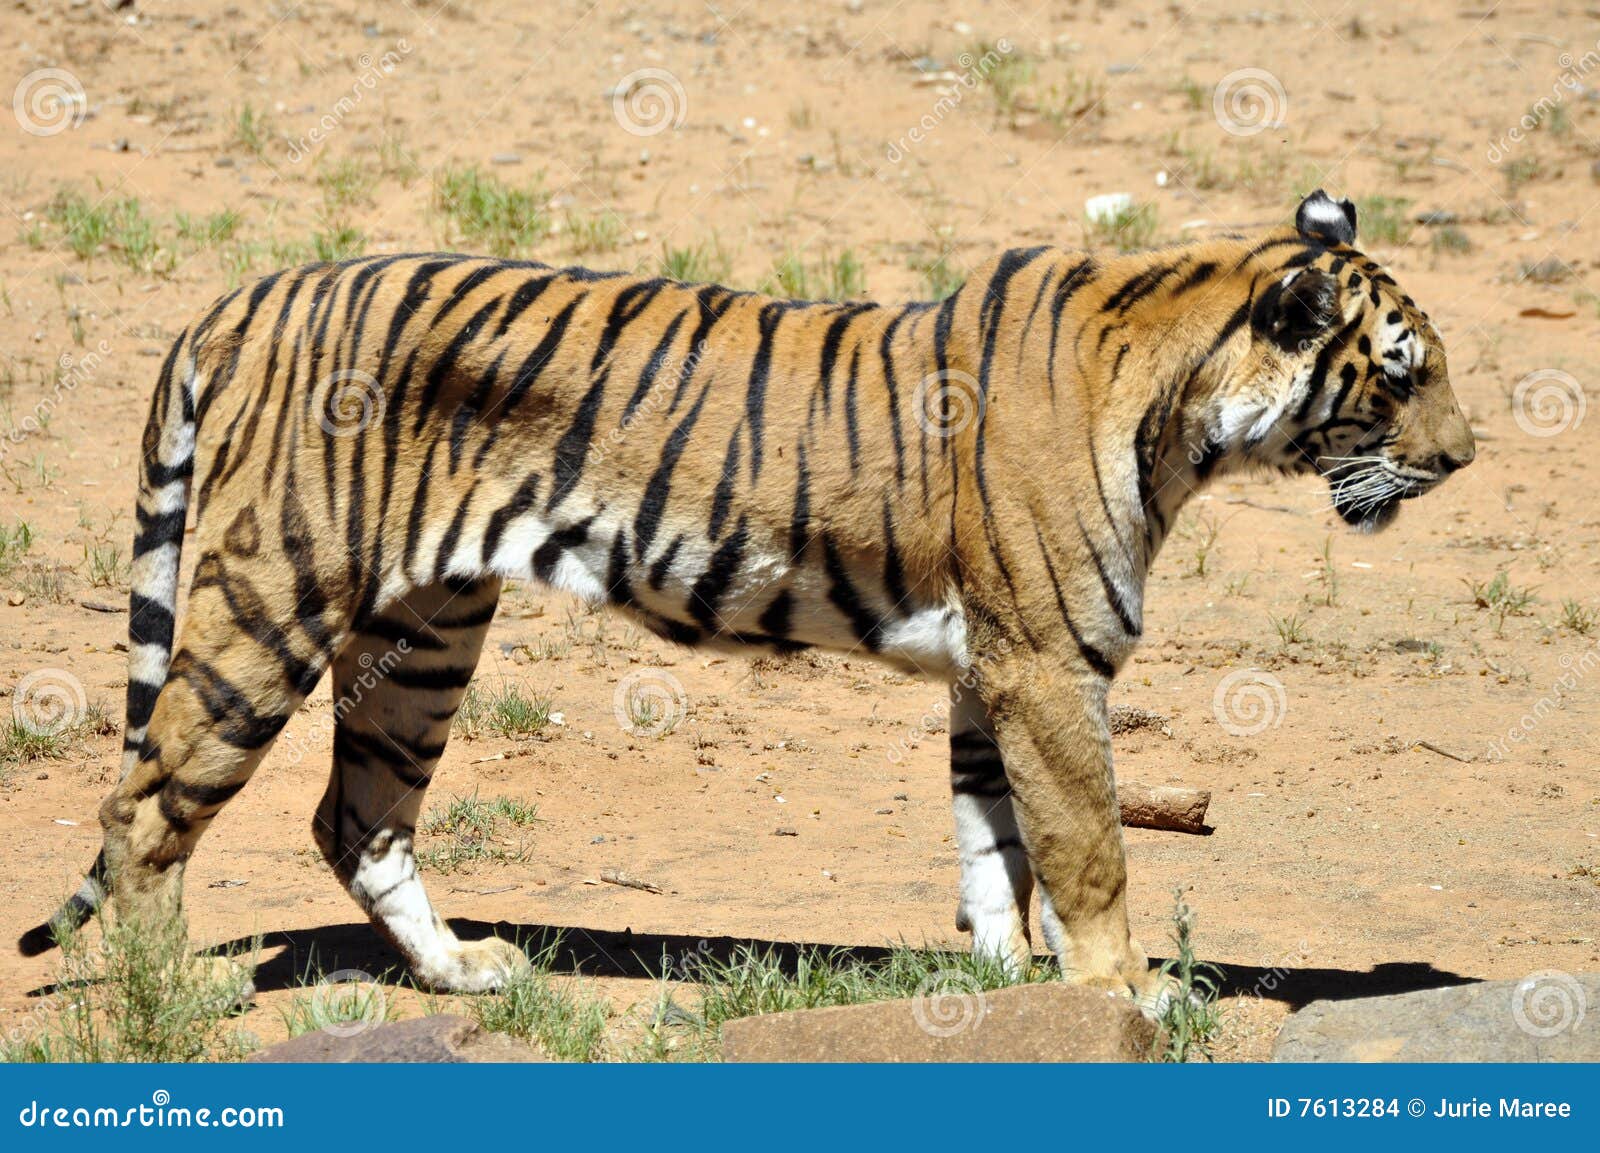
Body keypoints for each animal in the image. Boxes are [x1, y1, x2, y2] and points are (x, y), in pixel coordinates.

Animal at [20, 190, 1473, 1008]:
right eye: (1400, 374)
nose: (1464, 458)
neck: (1186, 416)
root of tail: (256, 288)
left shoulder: (990, 671)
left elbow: (994, 846)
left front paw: (1009, 984)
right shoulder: (1049, 667)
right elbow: (1089, 847)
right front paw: (1128, 995)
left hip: (424, 633)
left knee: (354, 813)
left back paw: (465, 970)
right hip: (271, 600)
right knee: (146, 801)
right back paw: (174, 992)